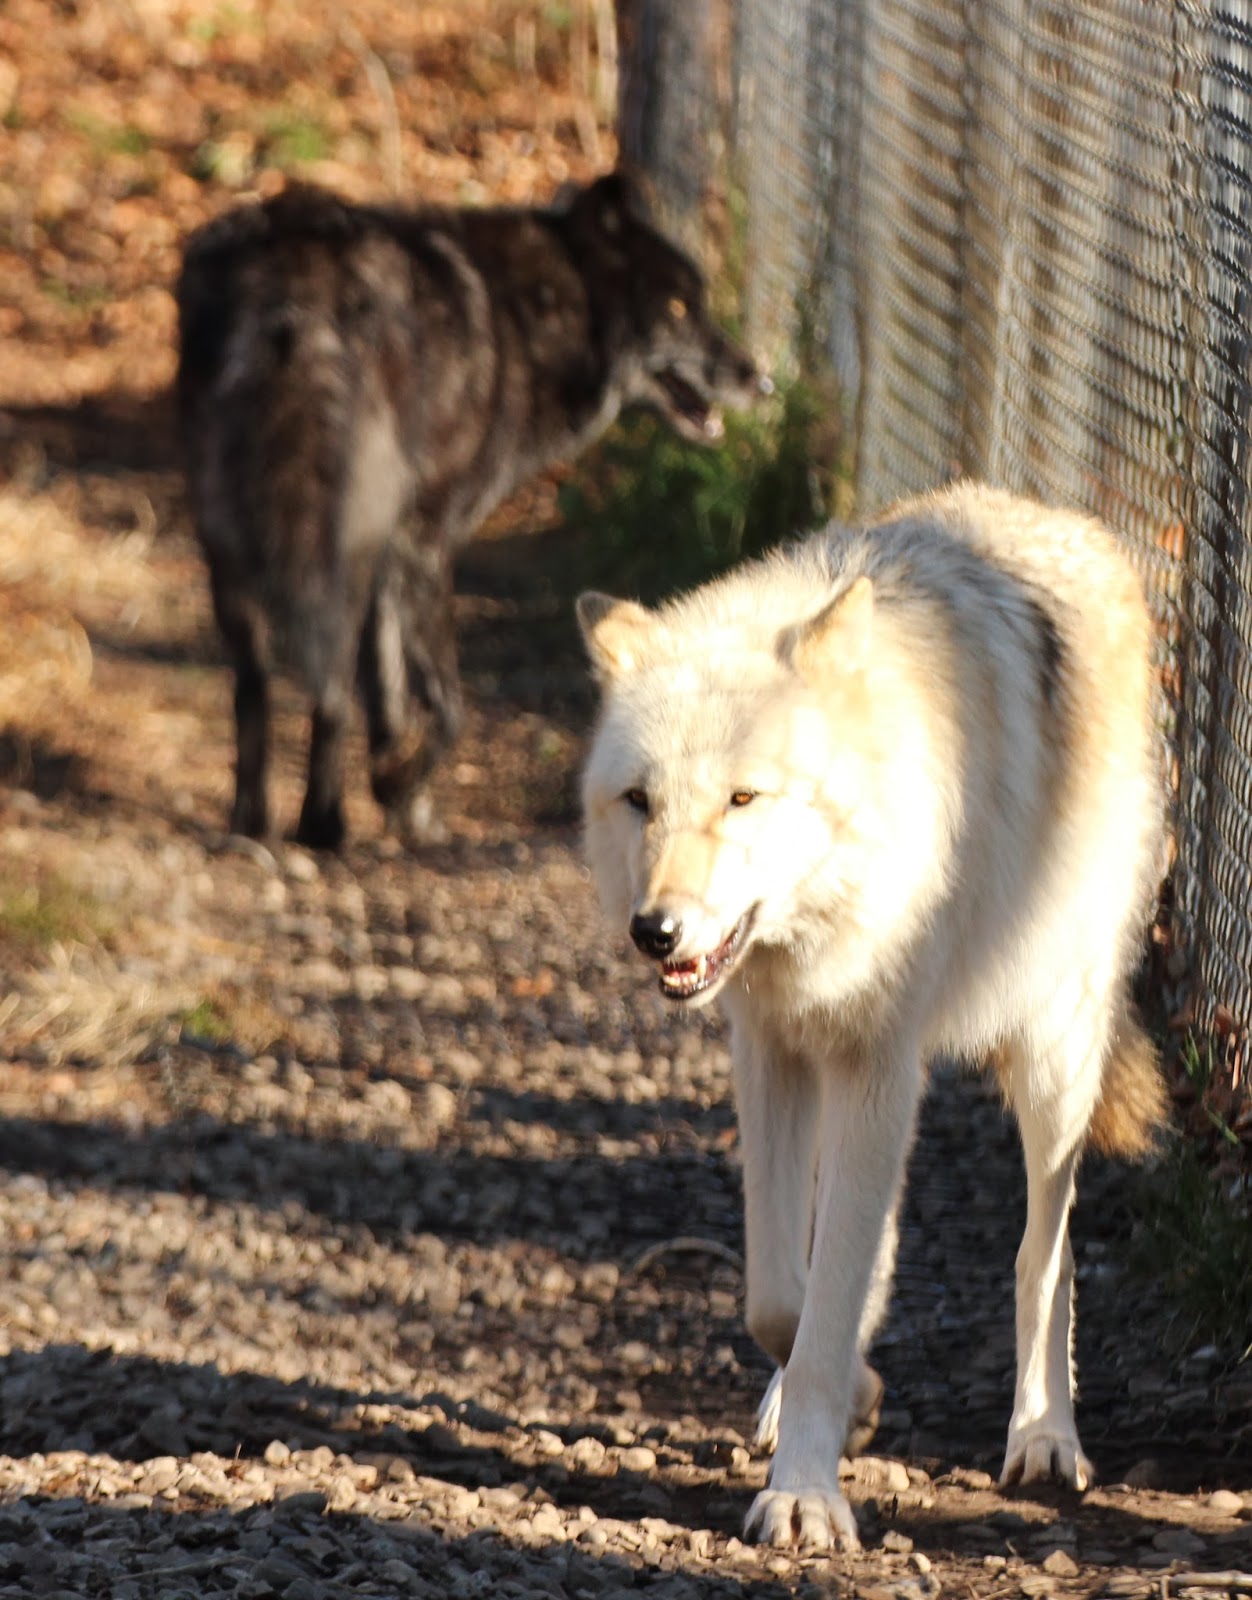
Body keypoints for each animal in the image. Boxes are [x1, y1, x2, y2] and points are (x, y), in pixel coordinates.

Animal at [176, 173, 766, 849]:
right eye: (677, 308)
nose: (761, 379)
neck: (534, 317)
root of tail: (284, 276)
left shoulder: (394, 558)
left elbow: (389, 694)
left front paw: (407, 806)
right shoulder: (422, 540)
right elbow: (448, 706)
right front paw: (395, 787)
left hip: (224, 534)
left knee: (253, 682)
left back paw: (249, 823)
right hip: (339, 542)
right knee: (328, 682)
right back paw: (322, 823)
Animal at [577, 482, 1166, 1551]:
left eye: (743, 798)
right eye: (639, 800)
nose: (656, 931)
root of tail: (1067, 520)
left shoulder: (876, 1059)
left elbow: (835, 1294)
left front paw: (804, 1494)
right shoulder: (775, 1052)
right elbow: (781, 1296)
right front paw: (842, 1395)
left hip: (1052, 1053)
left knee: (1046, 1253)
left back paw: (1044, 1436)